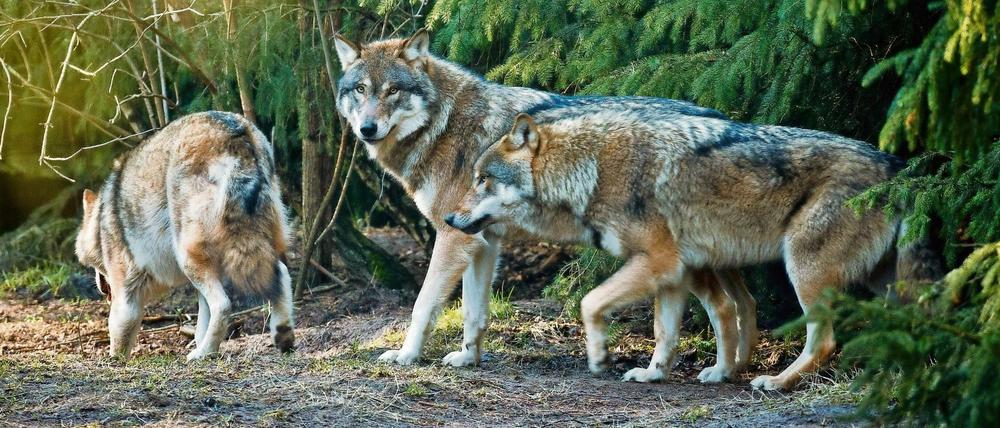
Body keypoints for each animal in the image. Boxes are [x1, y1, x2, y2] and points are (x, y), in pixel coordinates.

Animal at [75, 111, 294, 360]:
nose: (100, 286)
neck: (100, 225)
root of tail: (237, 132)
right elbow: (201, 323)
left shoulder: (126, 294)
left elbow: (119, 333)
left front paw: (115, 360)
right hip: (247, 249)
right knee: (282, 275)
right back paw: (283, 336)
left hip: (187, 257)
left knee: (224, 305)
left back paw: (203, 354)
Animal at [332, 29, 758, 379]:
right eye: (361, 90)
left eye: (392, 90)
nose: (367, 128)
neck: (444, 124)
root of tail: (722, 117)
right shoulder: (482, 240)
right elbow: (473, 312)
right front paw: (469, 358)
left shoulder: (454, 237)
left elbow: (423, 305)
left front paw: (406, 356)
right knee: (746, 302)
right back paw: (738, 369)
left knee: (724, 307)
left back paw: (720, 371)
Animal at [445, 109, 939, 390]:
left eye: (482, 180)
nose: (449, 220)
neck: (589, 172)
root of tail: (899, 168)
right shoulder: (672, 272)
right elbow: (665, 332)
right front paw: (654, 373)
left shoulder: (659, 262)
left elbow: (589, 303)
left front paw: (600, 356)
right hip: (882, 283)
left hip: (804, 270)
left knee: (825, 340)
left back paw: (777, 382)